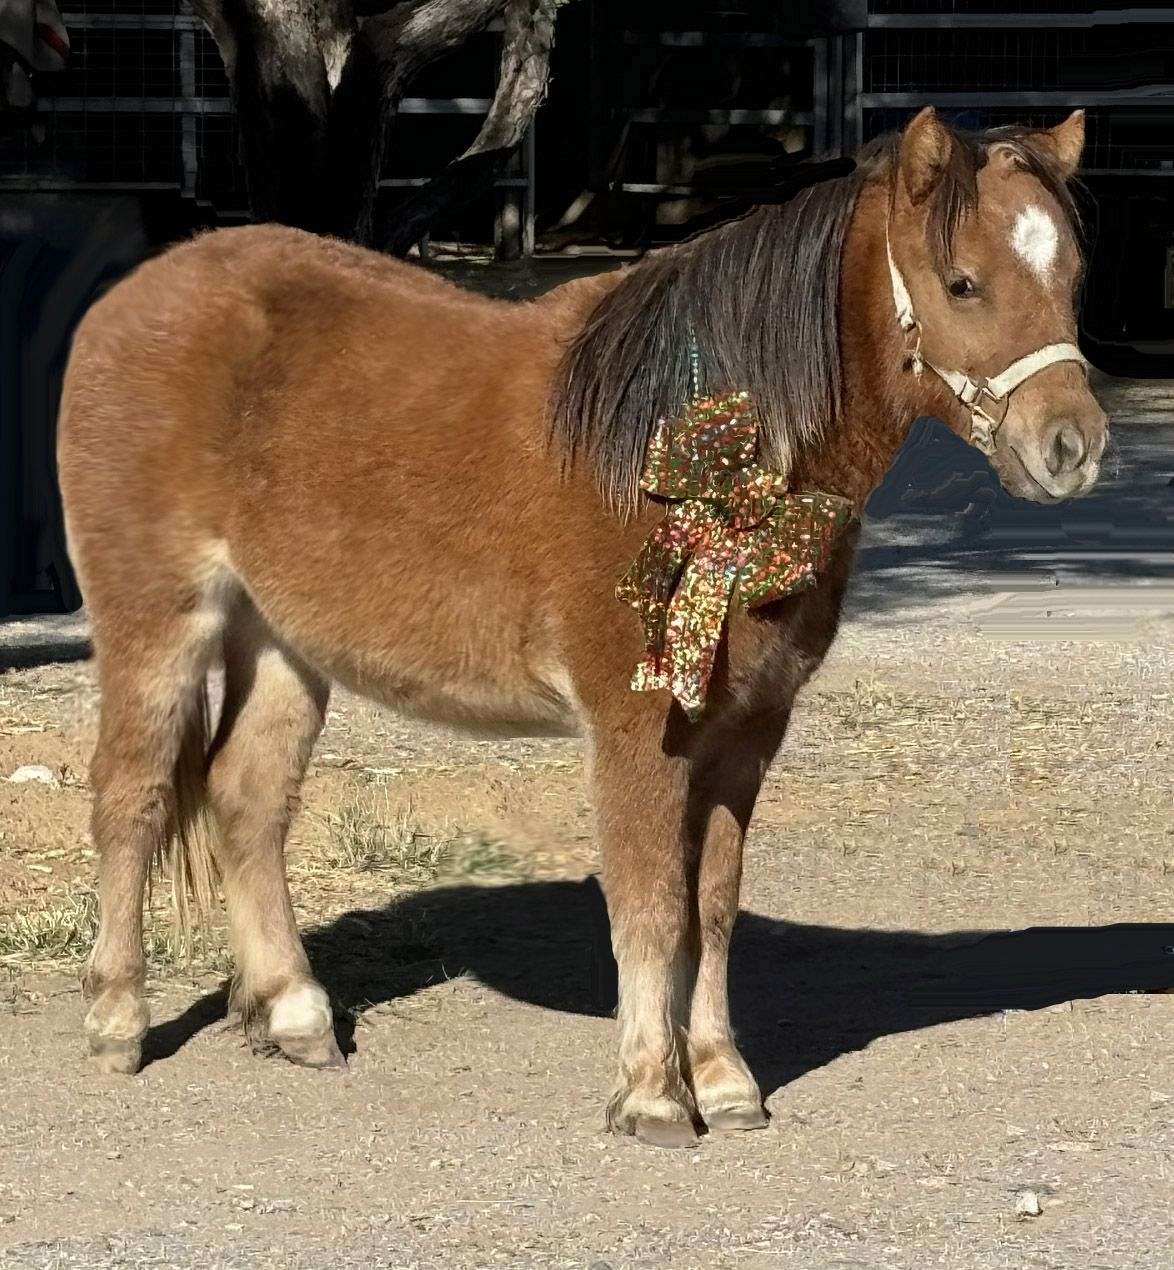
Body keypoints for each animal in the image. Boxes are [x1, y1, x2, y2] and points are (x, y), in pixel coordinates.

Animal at [58, 107, 1107, 1149]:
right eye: (963, 282)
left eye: (1071, 279)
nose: (1071, 447)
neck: (684, 443)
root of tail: (136, 295)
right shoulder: (637, 726)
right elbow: (651, 907)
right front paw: (652, 1095)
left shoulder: (746, 734)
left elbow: (712, 907)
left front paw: (724, 1081)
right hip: (159, 617)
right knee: (131, 794)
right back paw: (115, 1022)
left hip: (282, 638)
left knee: (248, 795)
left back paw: (295, 1014)